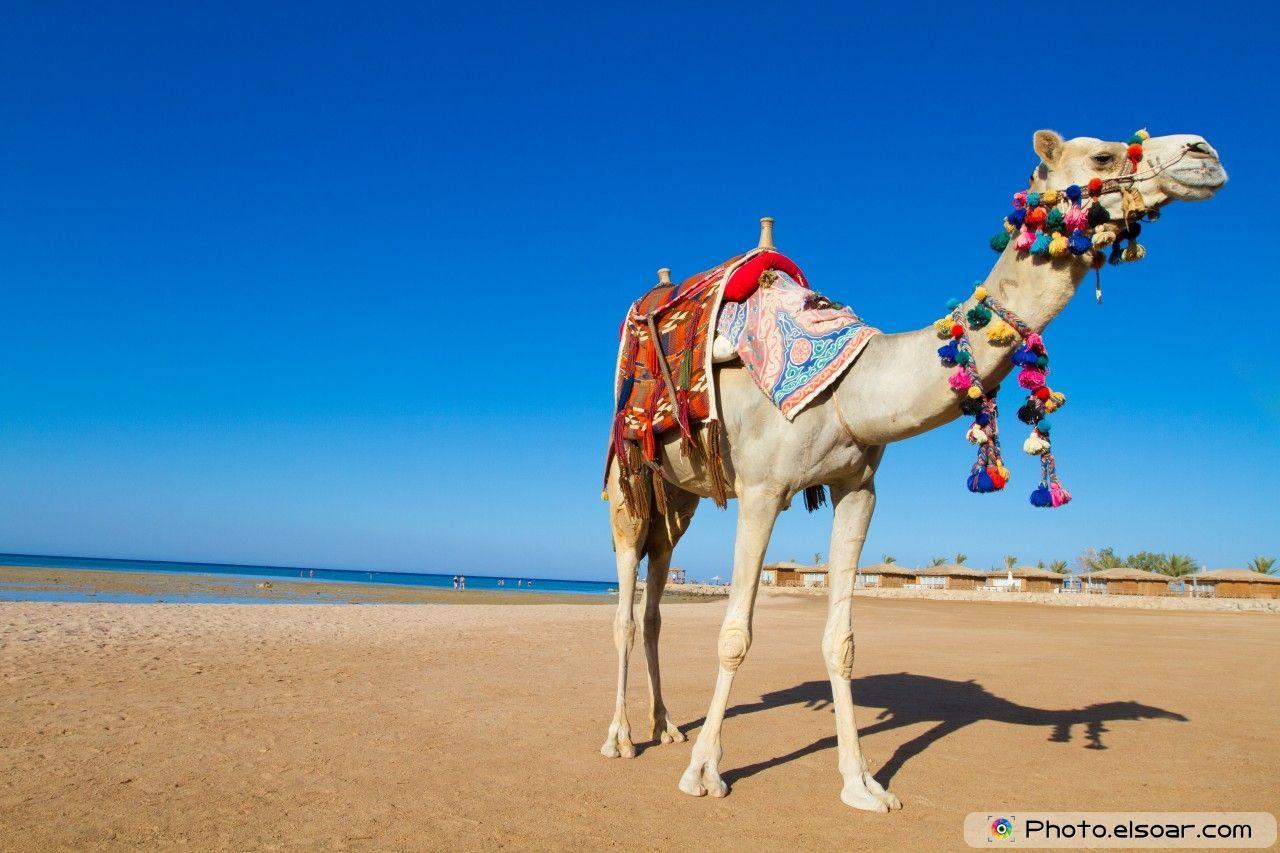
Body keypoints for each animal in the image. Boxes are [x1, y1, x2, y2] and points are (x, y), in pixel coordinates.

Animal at [600, 129, 1227, 811]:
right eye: (1104, 156)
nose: (1204, 153)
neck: (851, 388)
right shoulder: (763, 489)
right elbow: (734, 634)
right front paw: (705, 773)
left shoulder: (858, 489)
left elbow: (841, 642)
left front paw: (862, 784)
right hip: (626, 485)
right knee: (625, 608)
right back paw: (622, 738)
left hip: (677, 495)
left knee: (656, 599)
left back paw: (666, 727)